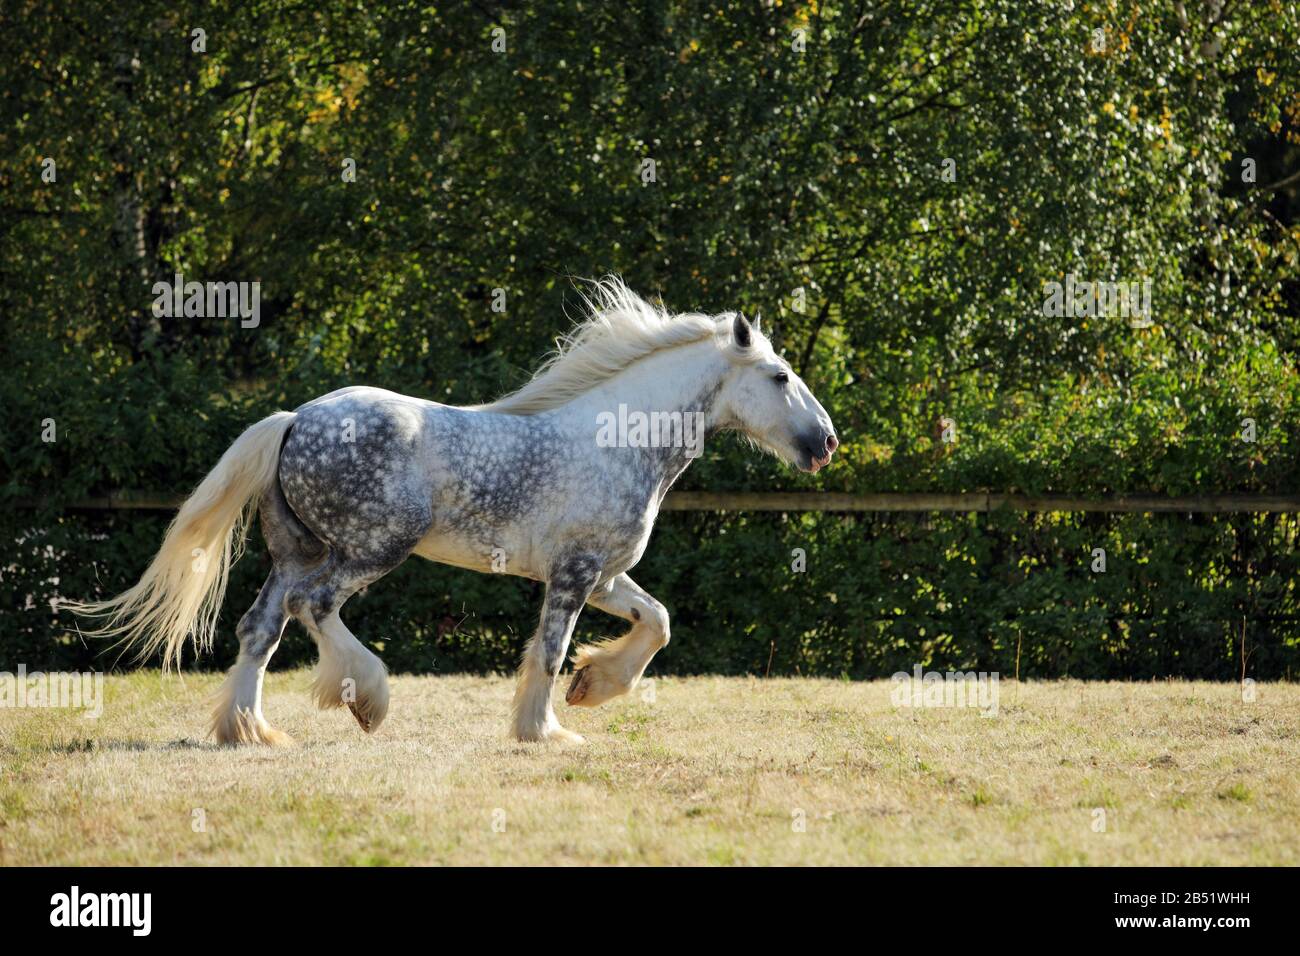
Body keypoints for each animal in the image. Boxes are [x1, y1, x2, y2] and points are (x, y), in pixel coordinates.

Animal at [68, 278, 842, 749]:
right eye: (779, 376)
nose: (827, 442)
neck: (618, 439)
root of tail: (293, 421)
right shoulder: (575, 572)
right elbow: (550, 648)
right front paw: (544, 730)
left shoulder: (605, 573)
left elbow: (657, 622)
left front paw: (593, 688)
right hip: (373, 547)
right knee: (313, 607)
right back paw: (366, 698)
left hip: (297, 550)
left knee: (261, 625)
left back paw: (248, 730)